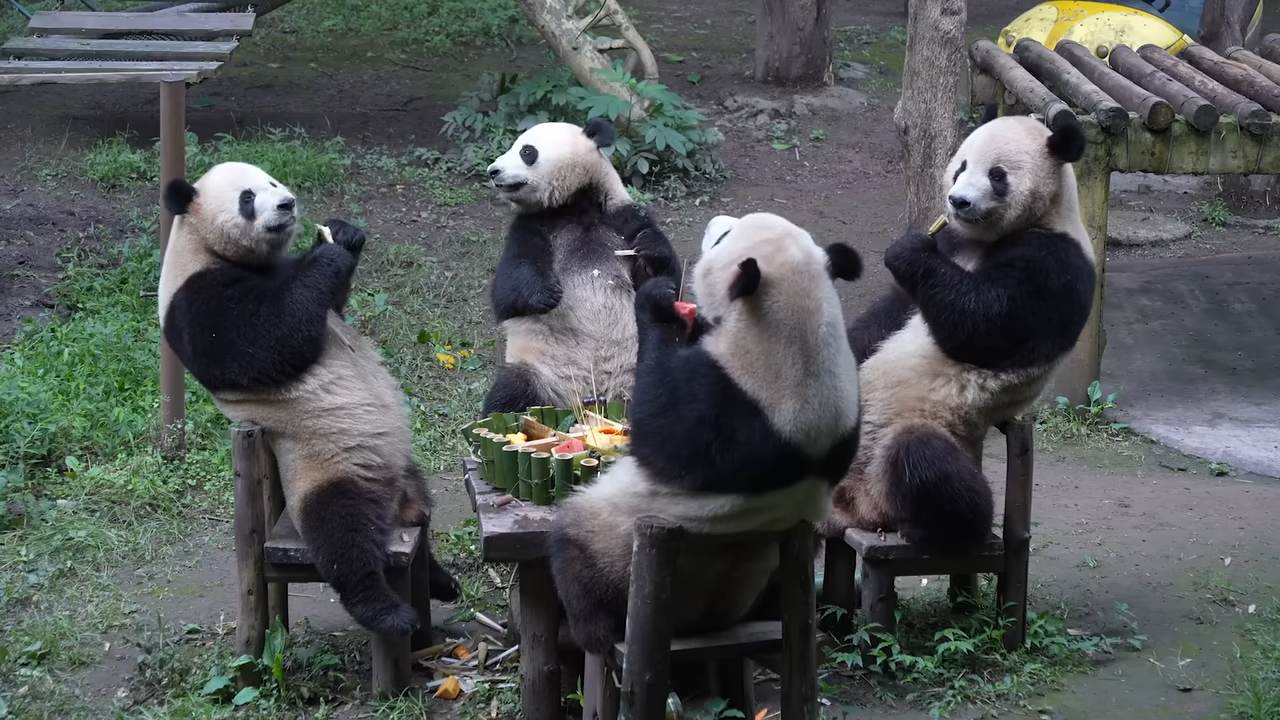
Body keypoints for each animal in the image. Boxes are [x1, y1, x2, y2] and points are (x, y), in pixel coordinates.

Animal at [156, 161, 461, 639]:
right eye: (247, 197)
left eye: (273, 182)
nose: (287, 204)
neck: (204, 244)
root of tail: (392, 496)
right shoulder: (196, 299)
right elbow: (270, 340)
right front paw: (328, 255)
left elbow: (329, 306)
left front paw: (342, 235)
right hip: (320, 463)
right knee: (342, 534)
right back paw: (387, 613)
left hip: (404, 469)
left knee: (421, 525)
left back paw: (441, 582)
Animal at [480, 118, 682, 415]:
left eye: (526, 151)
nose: (493, 171)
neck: (574, 204)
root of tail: (593, 401)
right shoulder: (531, 226)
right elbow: (506, 291)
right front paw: (547, 292)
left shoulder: (622, 217)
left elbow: (670, 282)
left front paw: (651, 251)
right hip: (540, 371)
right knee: (508, 393)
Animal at [547, 212, 865, 655]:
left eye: (725, 237)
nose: (717, 221)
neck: (799, 330)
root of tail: (701, 623)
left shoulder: (721, 407)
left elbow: (654, 421)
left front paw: (659, 302)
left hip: (617, 542)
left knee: (574, 554)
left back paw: (591, 628)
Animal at [825, 115, 1097, 553]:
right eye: (961, 166)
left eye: (997, 175)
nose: (957, 202)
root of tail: (852, 507)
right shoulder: (953, 242)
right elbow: (889, 315)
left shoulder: (1055, 264)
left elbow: (987, 326)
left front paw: (909, 249)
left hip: (925, 431)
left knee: (927, 463)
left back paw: (944, 530)